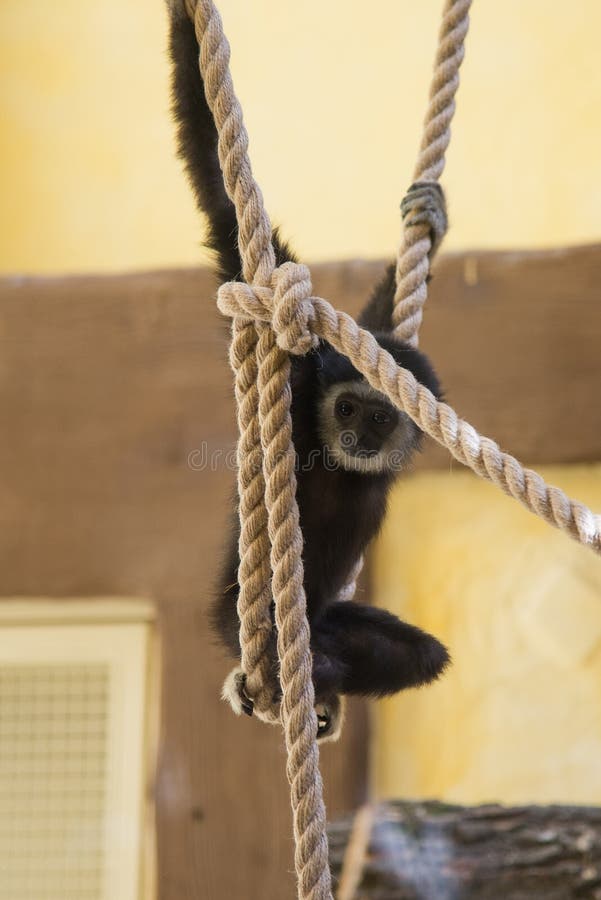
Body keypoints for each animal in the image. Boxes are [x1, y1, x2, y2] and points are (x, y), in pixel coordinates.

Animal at [168, 2, 450, 740]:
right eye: (345, 409)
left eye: (378, 416)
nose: (356, 436)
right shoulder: (299, 389)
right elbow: (228, 211)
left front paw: (430, 223)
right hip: (235, 616)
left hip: (330, 620)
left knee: (414, 654)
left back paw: (324, 681)